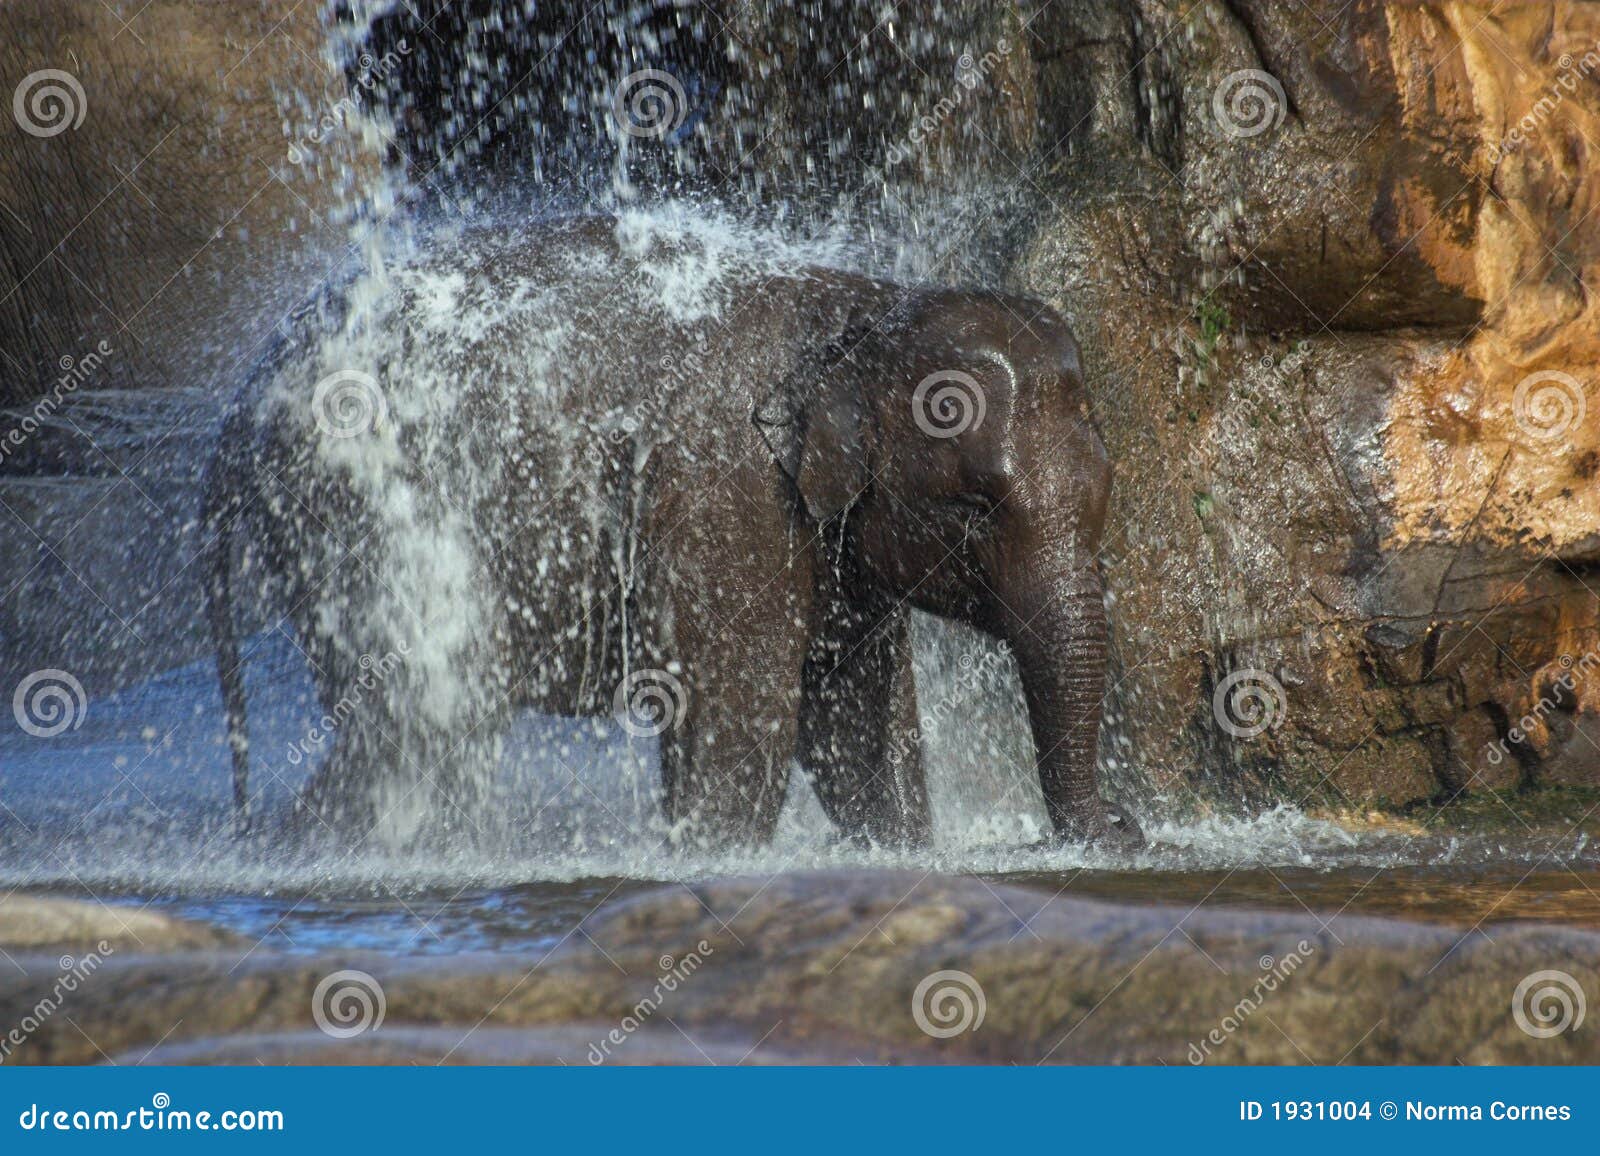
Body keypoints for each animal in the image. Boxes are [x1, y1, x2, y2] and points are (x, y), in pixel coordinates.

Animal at [202, 214, 1143, 851]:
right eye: (976, 507)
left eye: (1105, 492)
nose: (1120, 829)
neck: (860, 312)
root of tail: (238, 407)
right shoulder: (726, 493)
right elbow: (745, 723)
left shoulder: (826, 539)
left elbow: (856, 722)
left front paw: (904, 848)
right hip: (359, 511)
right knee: (429, 720)